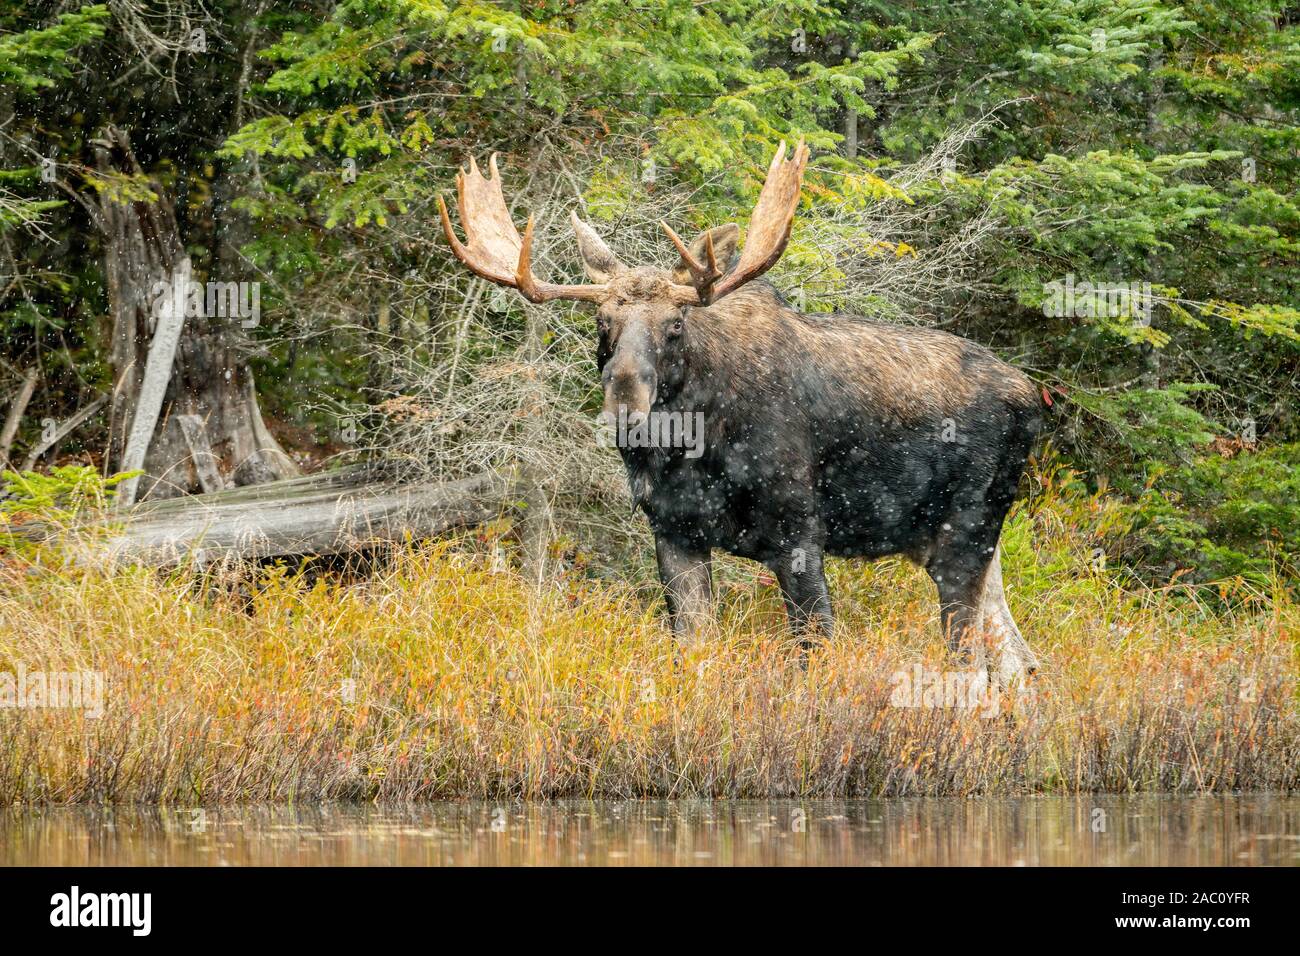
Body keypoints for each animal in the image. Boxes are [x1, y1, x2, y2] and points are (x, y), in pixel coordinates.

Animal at [439, 143, 1043, 687]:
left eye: (675, 323)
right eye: (603, 321)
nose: (624, 401)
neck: (692, 449)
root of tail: (1036, 397)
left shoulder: (800, 531)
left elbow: (816, 656)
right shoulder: (674, 530)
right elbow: (694, 653)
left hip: (967, 532)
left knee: (973, 666)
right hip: (958, 544)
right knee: (1018, 658)